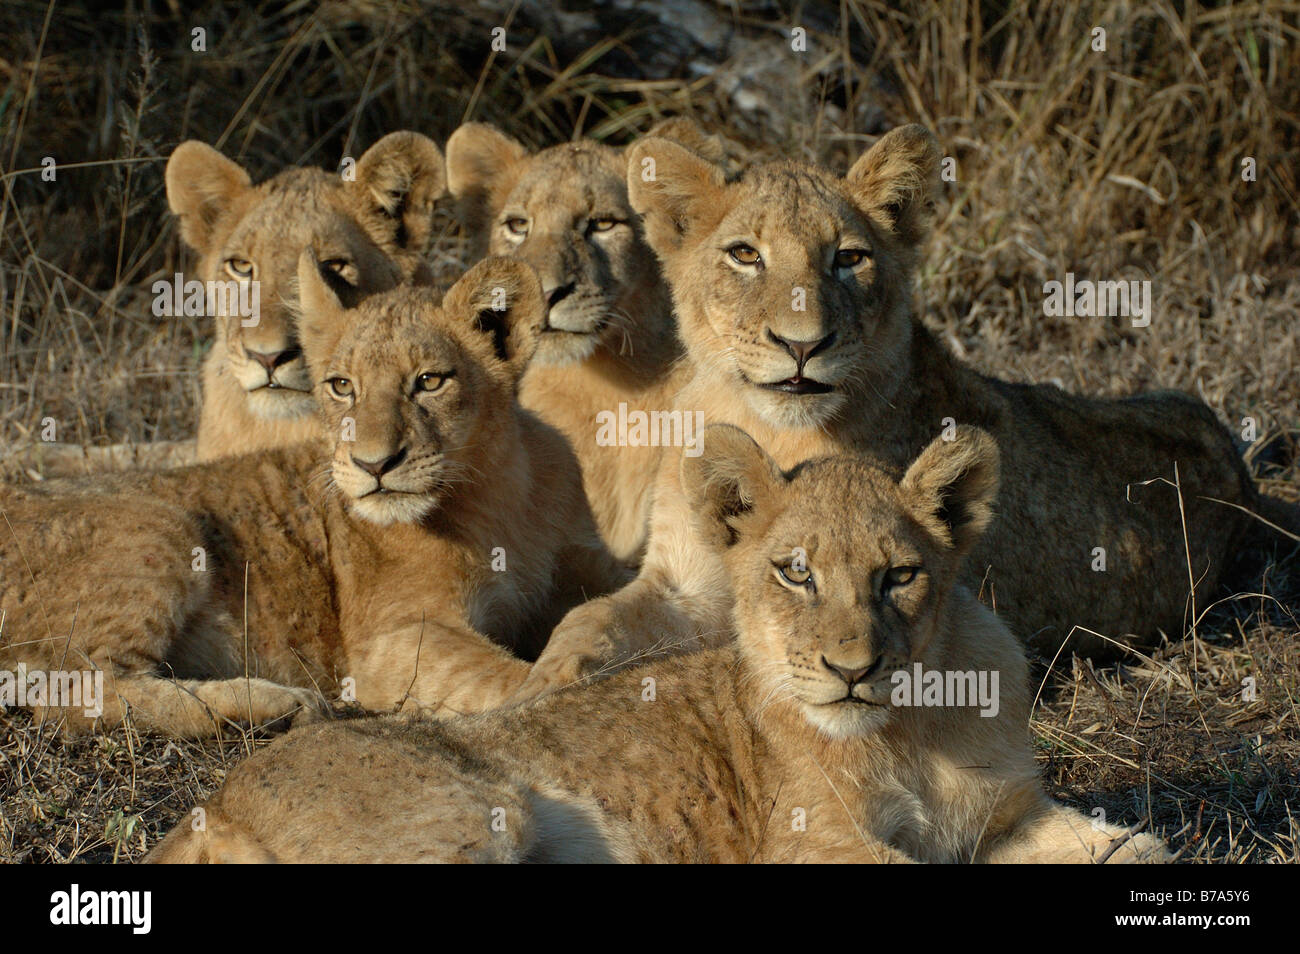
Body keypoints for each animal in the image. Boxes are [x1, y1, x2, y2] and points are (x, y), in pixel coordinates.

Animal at [0, 254, 623, 738]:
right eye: (342, 386)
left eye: (429, 382)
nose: (373, 465)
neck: (499, 493)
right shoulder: (392, 641)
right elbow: (510, 677)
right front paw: (574, 681)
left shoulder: (583, 557)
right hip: (157, 529)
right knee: (74, 695)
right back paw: (277, 705)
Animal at [146, 425, 1169, 864]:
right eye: (794, 572)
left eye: (899, 576)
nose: (852, 671)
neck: (909, 725)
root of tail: (212, 805)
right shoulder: (813, 848)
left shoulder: (1012, 818)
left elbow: (1136, 853)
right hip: (470, 817)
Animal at [518, 124, 1266, 695]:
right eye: (745, 254)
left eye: (849, 259)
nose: (802, 345)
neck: (766, 427)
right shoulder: (683, 581)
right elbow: (587, 622)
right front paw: (530, 692)